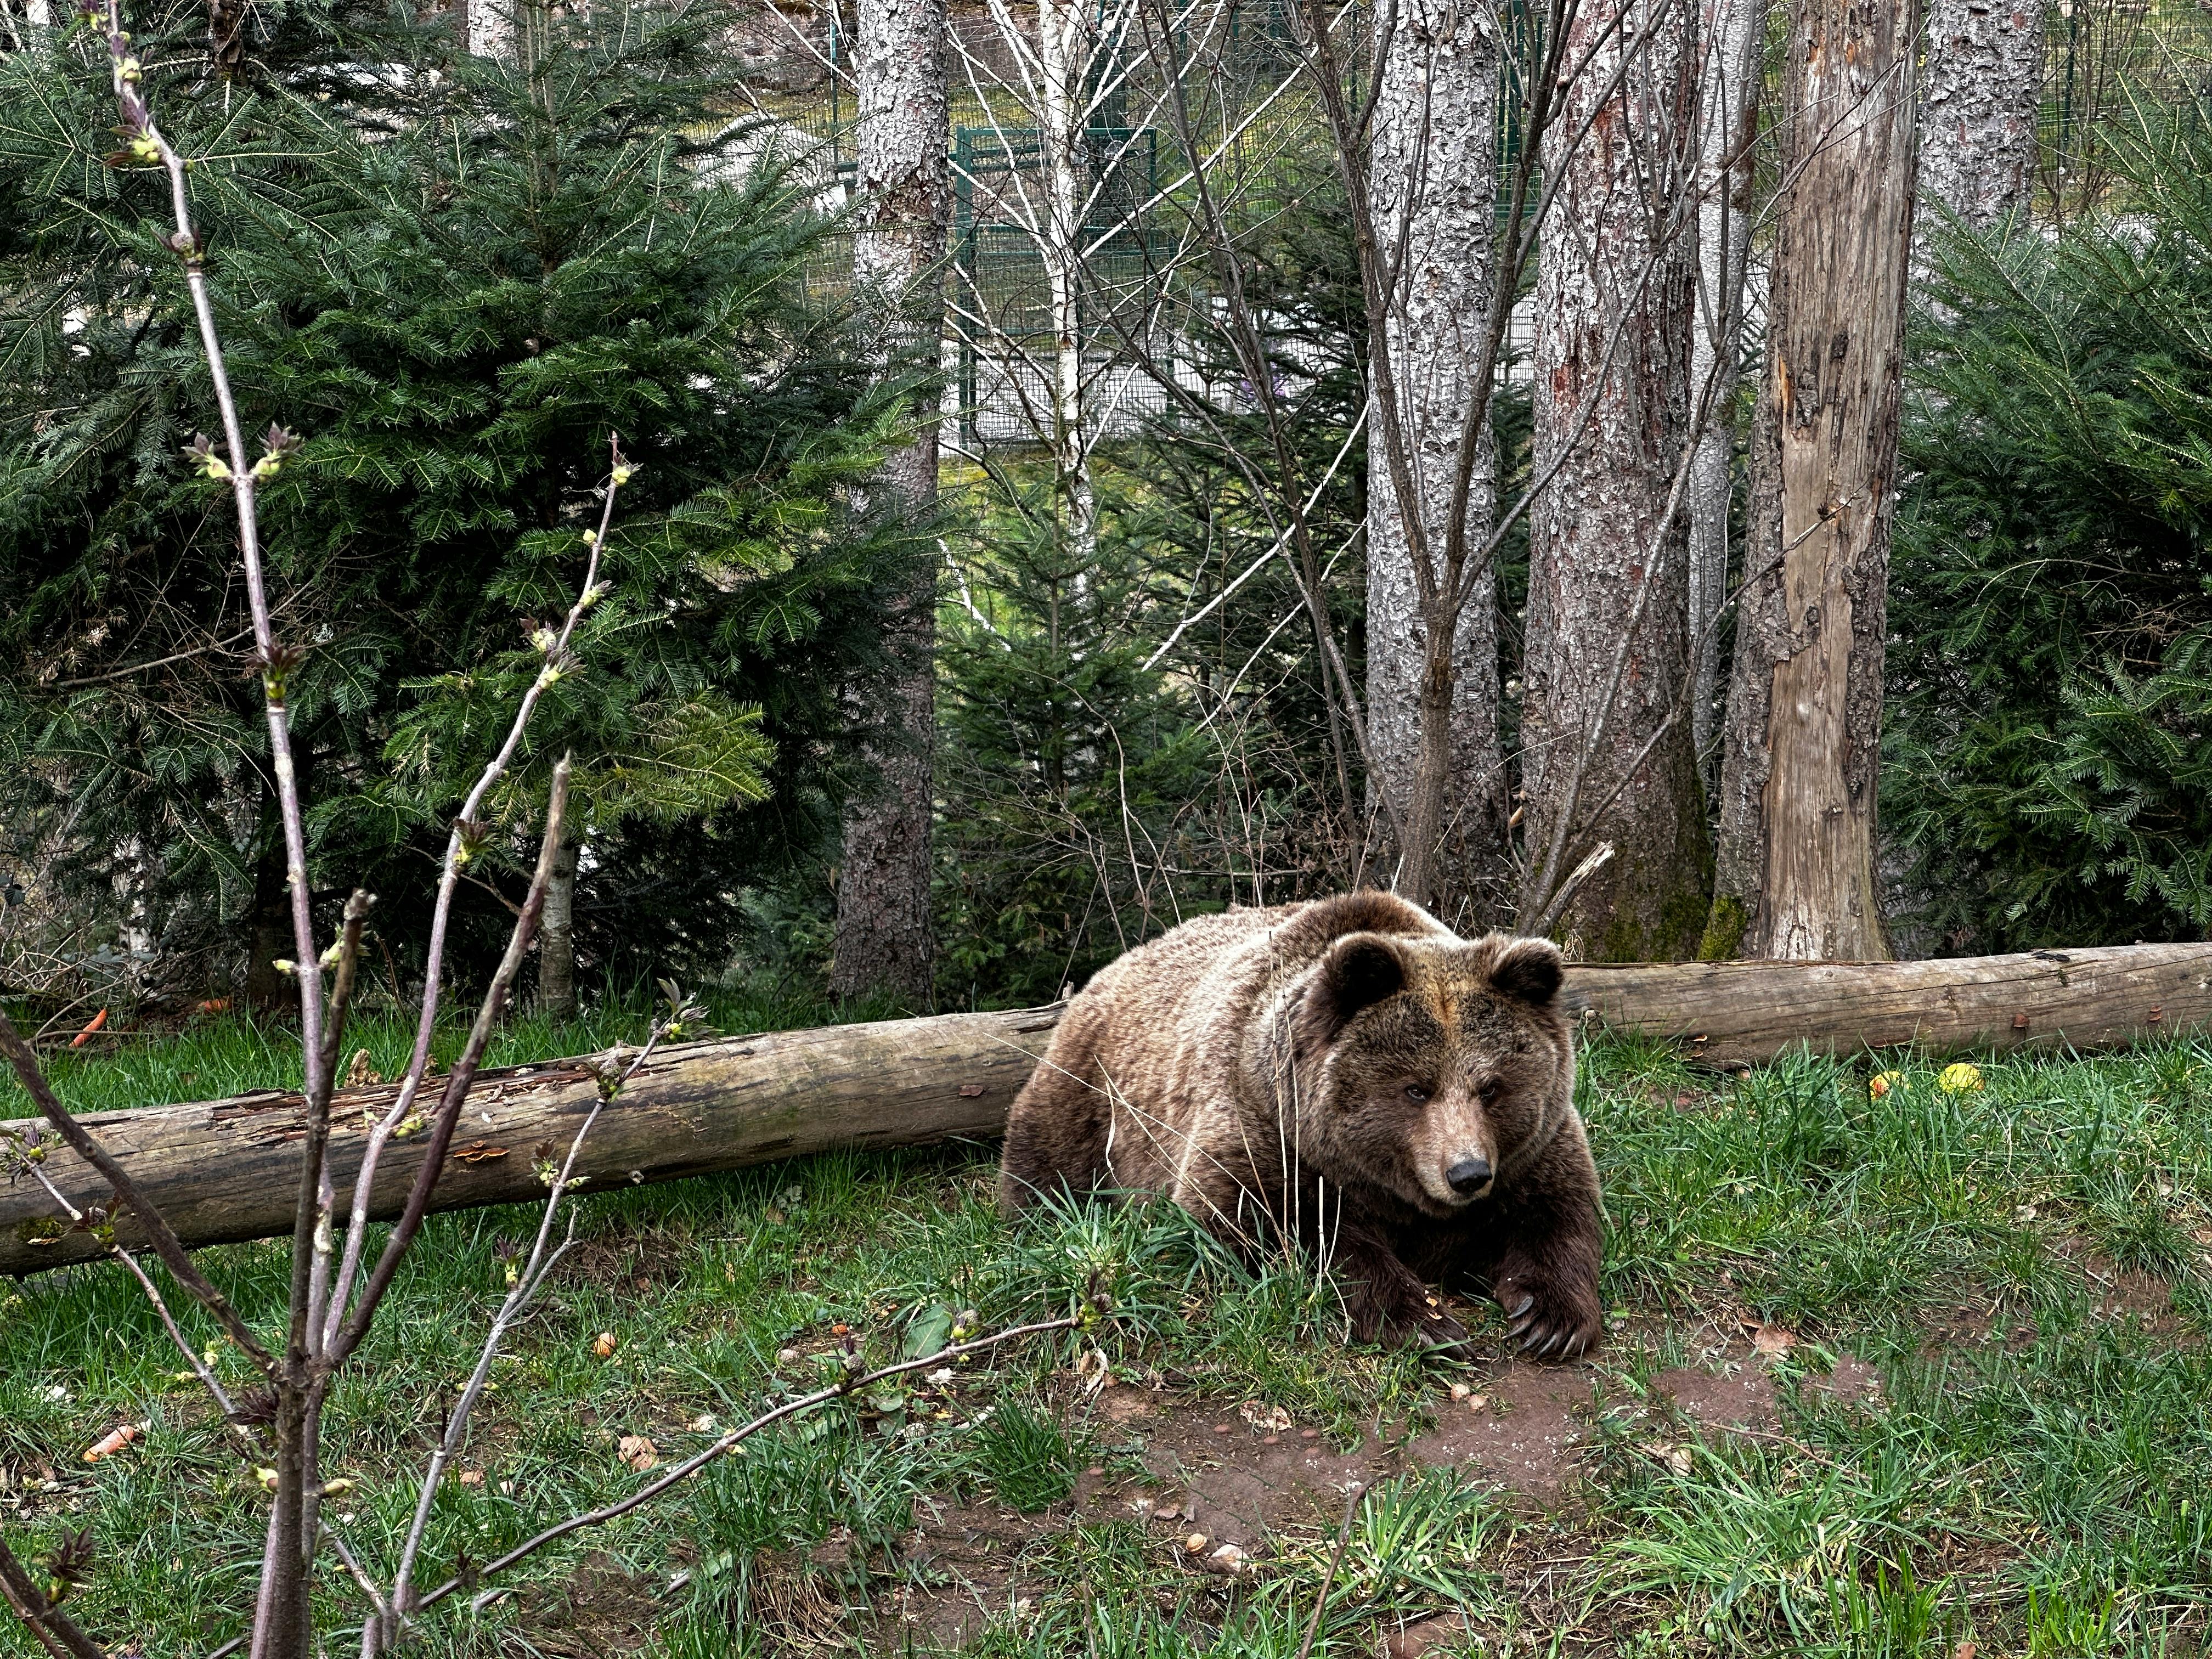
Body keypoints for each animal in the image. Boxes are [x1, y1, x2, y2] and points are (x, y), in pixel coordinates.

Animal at [997, 891, 1602, 1356]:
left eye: (1491, 1087)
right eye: (1416, 1088)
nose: (1468, 1174)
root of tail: (1119, 963)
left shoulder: (1535, 1151)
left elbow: (1559, 1213)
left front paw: (1550, 1319)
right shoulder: (1263, 1128)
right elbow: (1268, 1224)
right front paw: (1424, 1321)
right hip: (1094, 1089)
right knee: (1048, 1157)